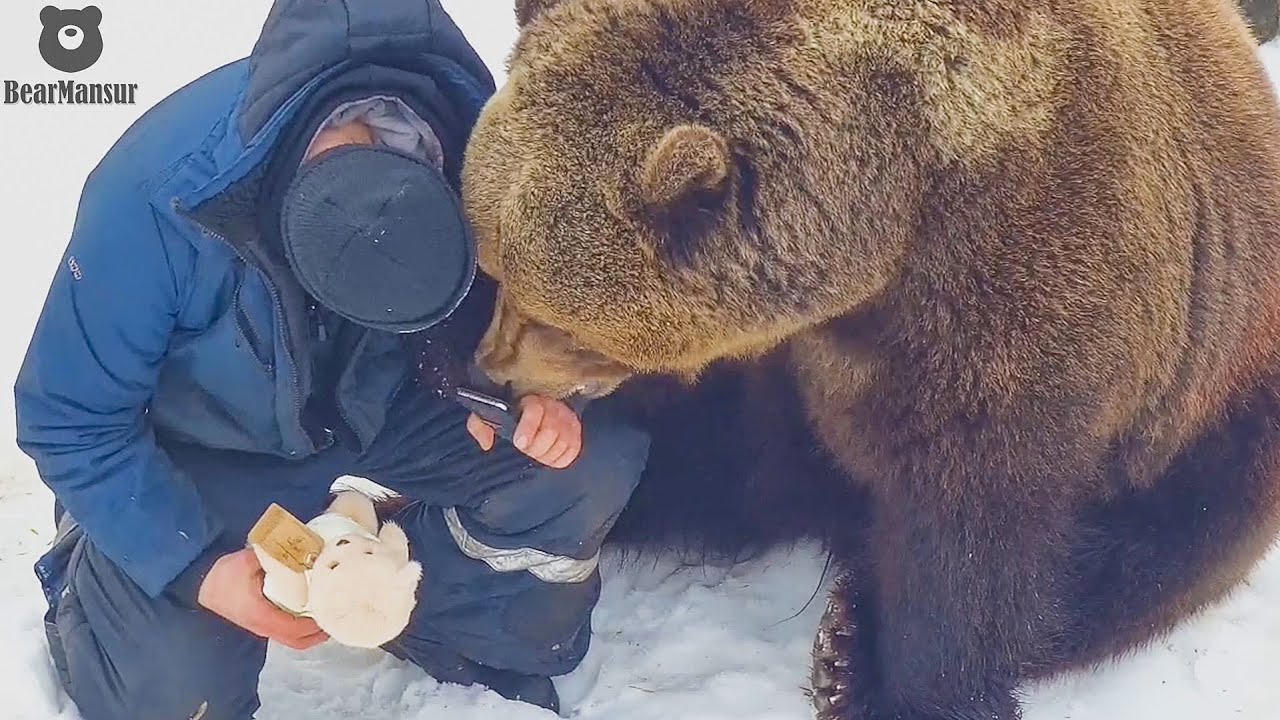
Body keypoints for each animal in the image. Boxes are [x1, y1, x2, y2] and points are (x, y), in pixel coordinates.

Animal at [463, 1, 1280, 720]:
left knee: (1164, 546)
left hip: (1215, 397)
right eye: (492, 268)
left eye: (547, 312)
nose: (489, 369)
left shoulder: (1025, 284)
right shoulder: (783, 362)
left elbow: (973, 520)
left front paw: (887, 682)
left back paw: (851, 635)